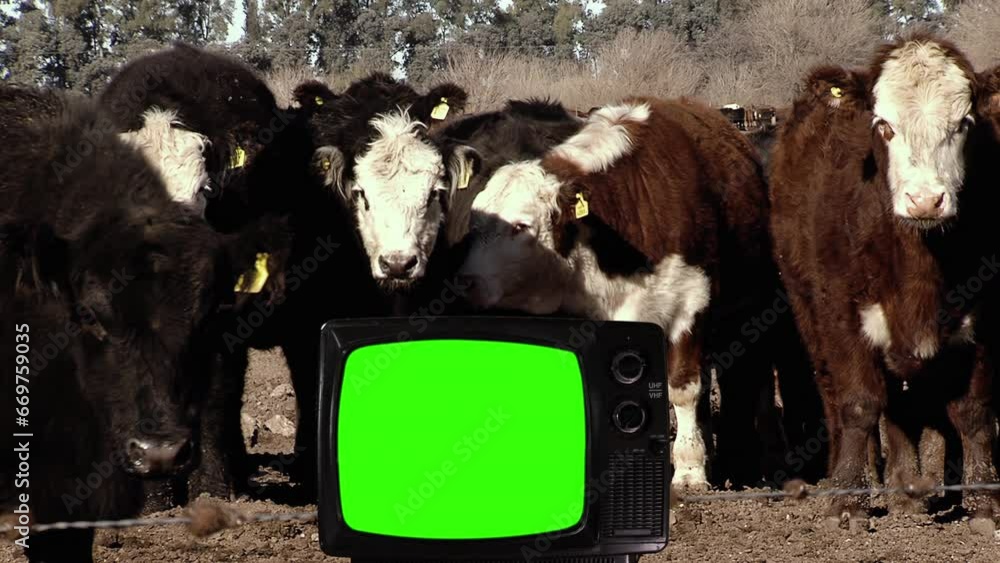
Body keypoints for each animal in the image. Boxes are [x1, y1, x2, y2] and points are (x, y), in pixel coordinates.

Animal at [455, 97, 791, 489]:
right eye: (476, 223)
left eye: (521, 227)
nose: (465, 282)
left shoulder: (689, 307)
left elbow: (683, 389)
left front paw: (689, 470)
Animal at [769, 34, 1000, 530]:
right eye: (884, 125)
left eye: (964, 123)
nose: (925, 200)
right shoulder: (840, 310)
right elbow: (859, 403)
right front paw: (847, 503)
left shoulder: (987, 312)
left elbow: (972, 410)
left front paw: (983, 503)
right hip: (807, 311)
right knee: (838, 400)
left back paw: (906, 489)